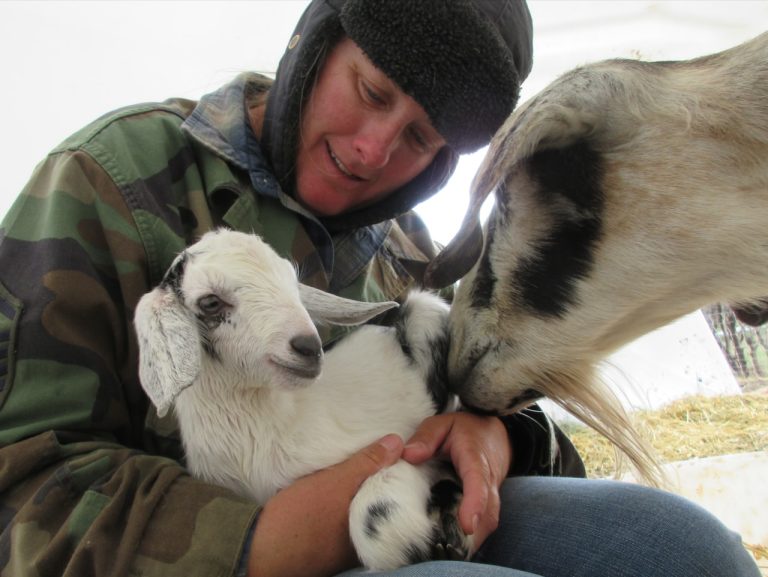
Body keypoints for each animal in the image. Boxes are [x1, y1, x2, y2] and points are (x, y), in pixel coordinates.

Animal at [134, 229, 471, 571]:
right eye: (211, 301)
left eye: (292, 284)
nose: (309, 347)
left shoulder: (411, 449)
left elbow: (377, 527)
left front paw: (438, 543)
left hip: (425, 315)